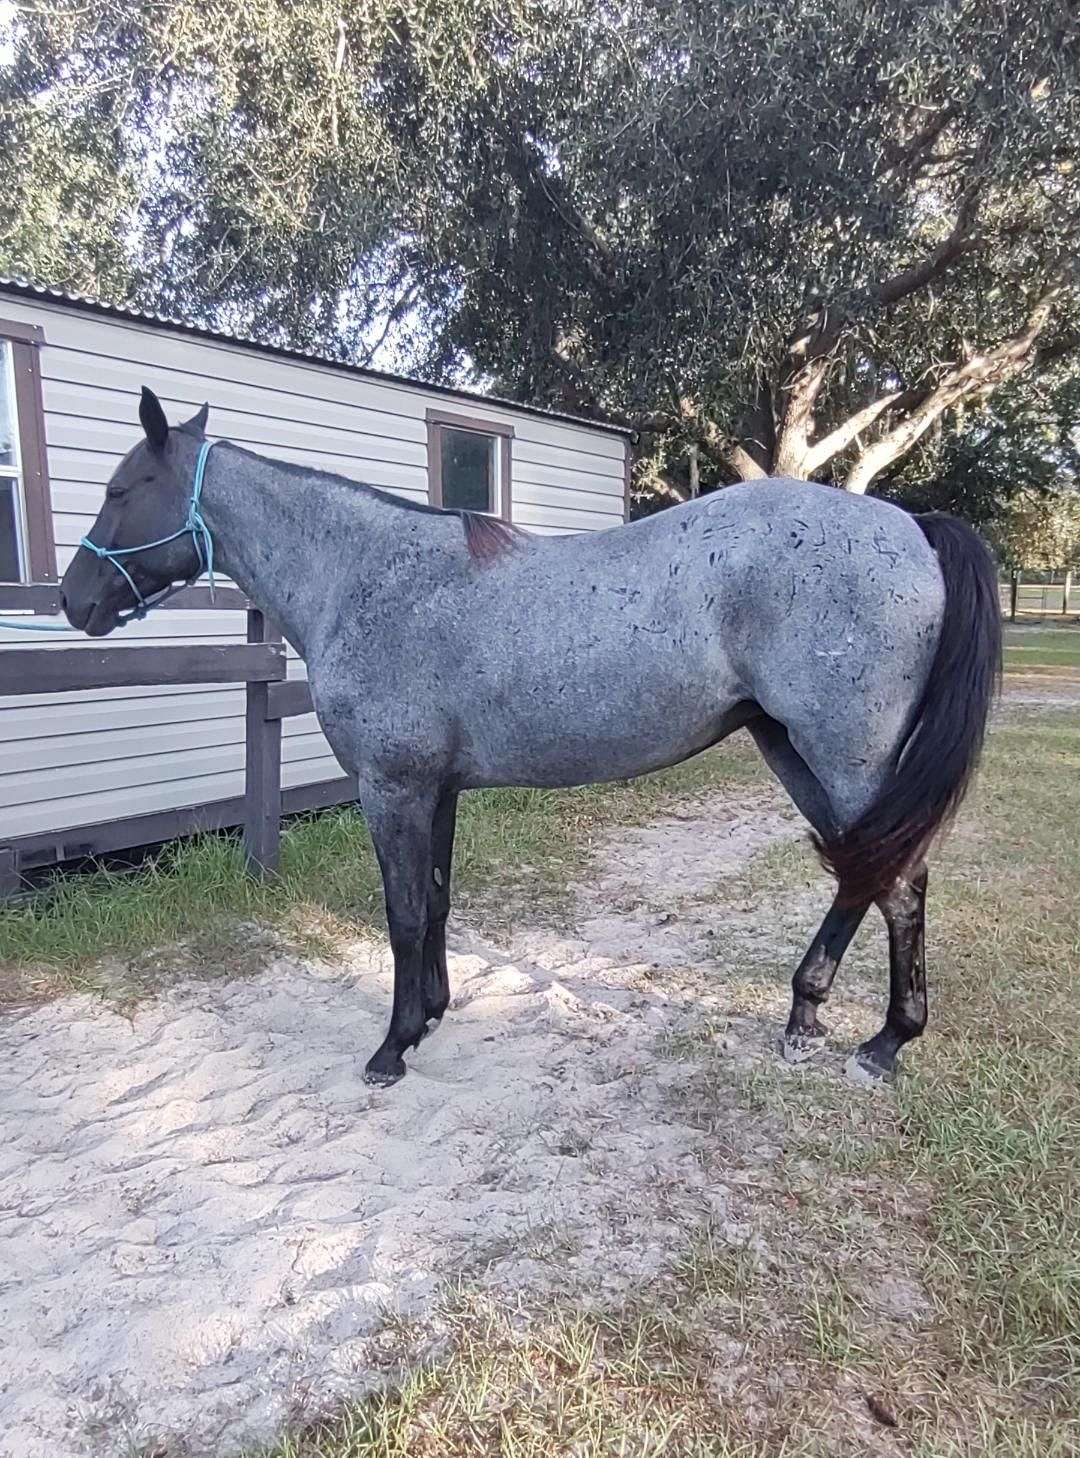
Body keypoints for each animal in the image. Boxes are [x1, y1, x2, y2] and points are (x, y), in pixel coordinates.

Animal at [61, 389, 1001, 1086]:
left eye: (120, 490)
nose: (74, 601)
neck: (369, 578)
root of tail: (910, 527)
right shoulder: (435, 789)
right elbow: (437, 905)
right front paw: (430, 1017)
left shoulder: (393, 787)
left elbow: (403, 915)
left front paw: (391, 1048)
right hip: (793, 749)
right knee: (862, 872)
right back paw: (805, 1016)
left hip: (844, 753)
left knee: (898, 883)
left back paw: (884, 1044)